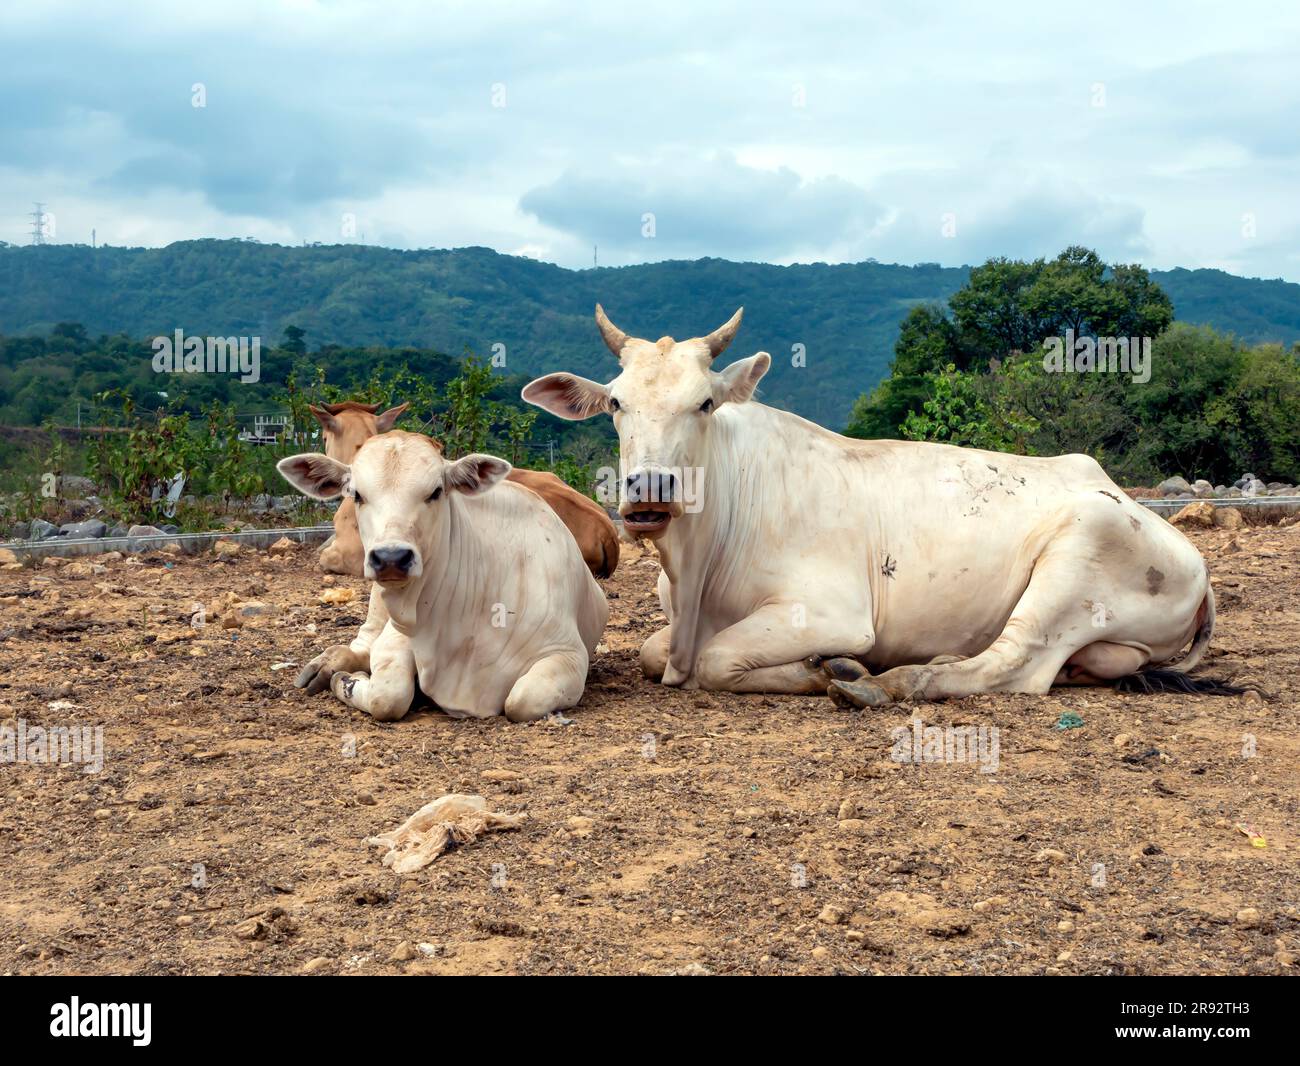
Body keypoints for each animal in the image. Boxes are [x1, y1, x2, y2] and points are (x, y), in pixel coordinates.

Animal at [279, 431, 607, 722]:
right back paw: (327, 666)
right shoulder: (396, 636)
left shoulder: (567, 653)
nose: (391, 558)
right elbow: (387, 696)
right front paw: (347, 681)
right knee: (361, 644)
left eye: (435, 492)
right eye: (357, 495)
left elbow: (522, 700)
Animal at [519, 305, 1233, 707]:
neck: (696, 567)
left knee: (1015, 664)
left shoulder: (830, 611)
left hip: (1082, 548)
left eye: (705, 402)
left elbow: (721, 661)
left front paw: (824, 669)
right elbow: (650, 651)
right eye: (616, 403)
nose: (650, 492)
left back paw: (887, 682)